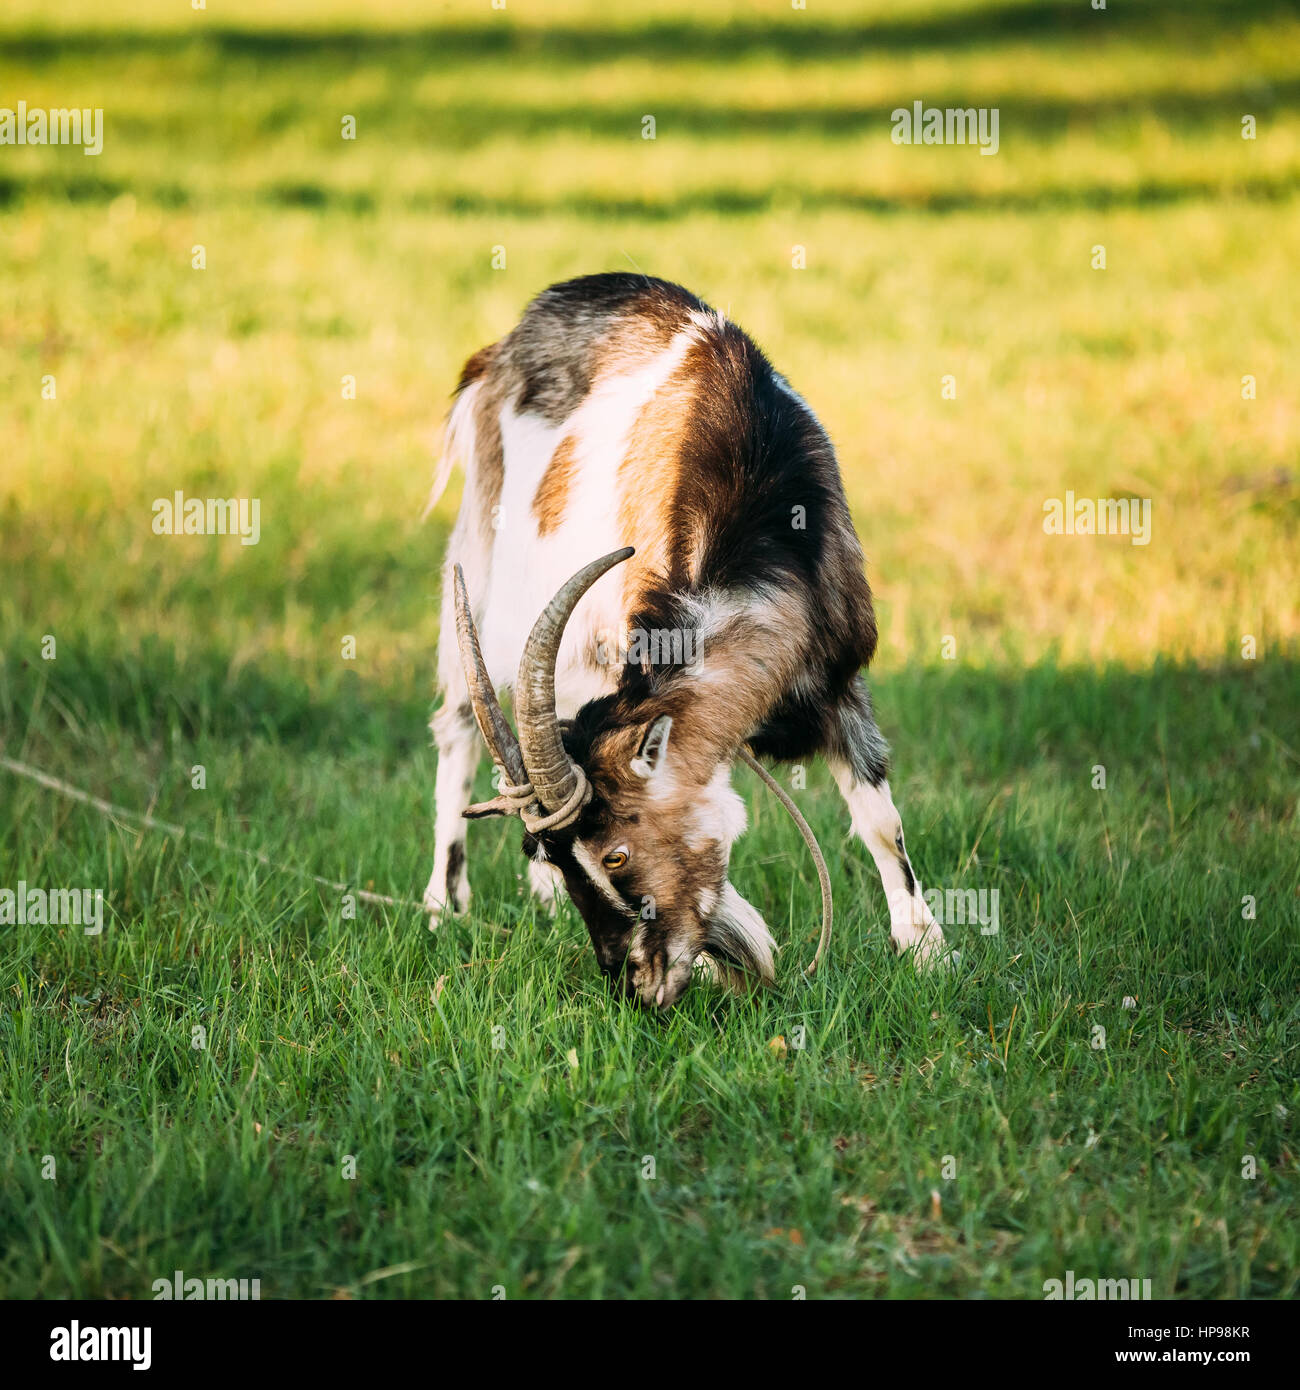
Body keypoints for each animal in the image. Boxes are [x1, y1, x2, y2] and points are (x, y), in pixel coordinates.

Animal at [424, 273, 950, 1008]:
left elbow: (880, 818)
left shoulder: (840, 672)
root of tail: (499, 351)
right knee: (456, 726)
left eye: (615, 852)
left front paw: (928, 952)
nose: (632, 981)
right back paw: (441, 904)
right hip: (480, 560)